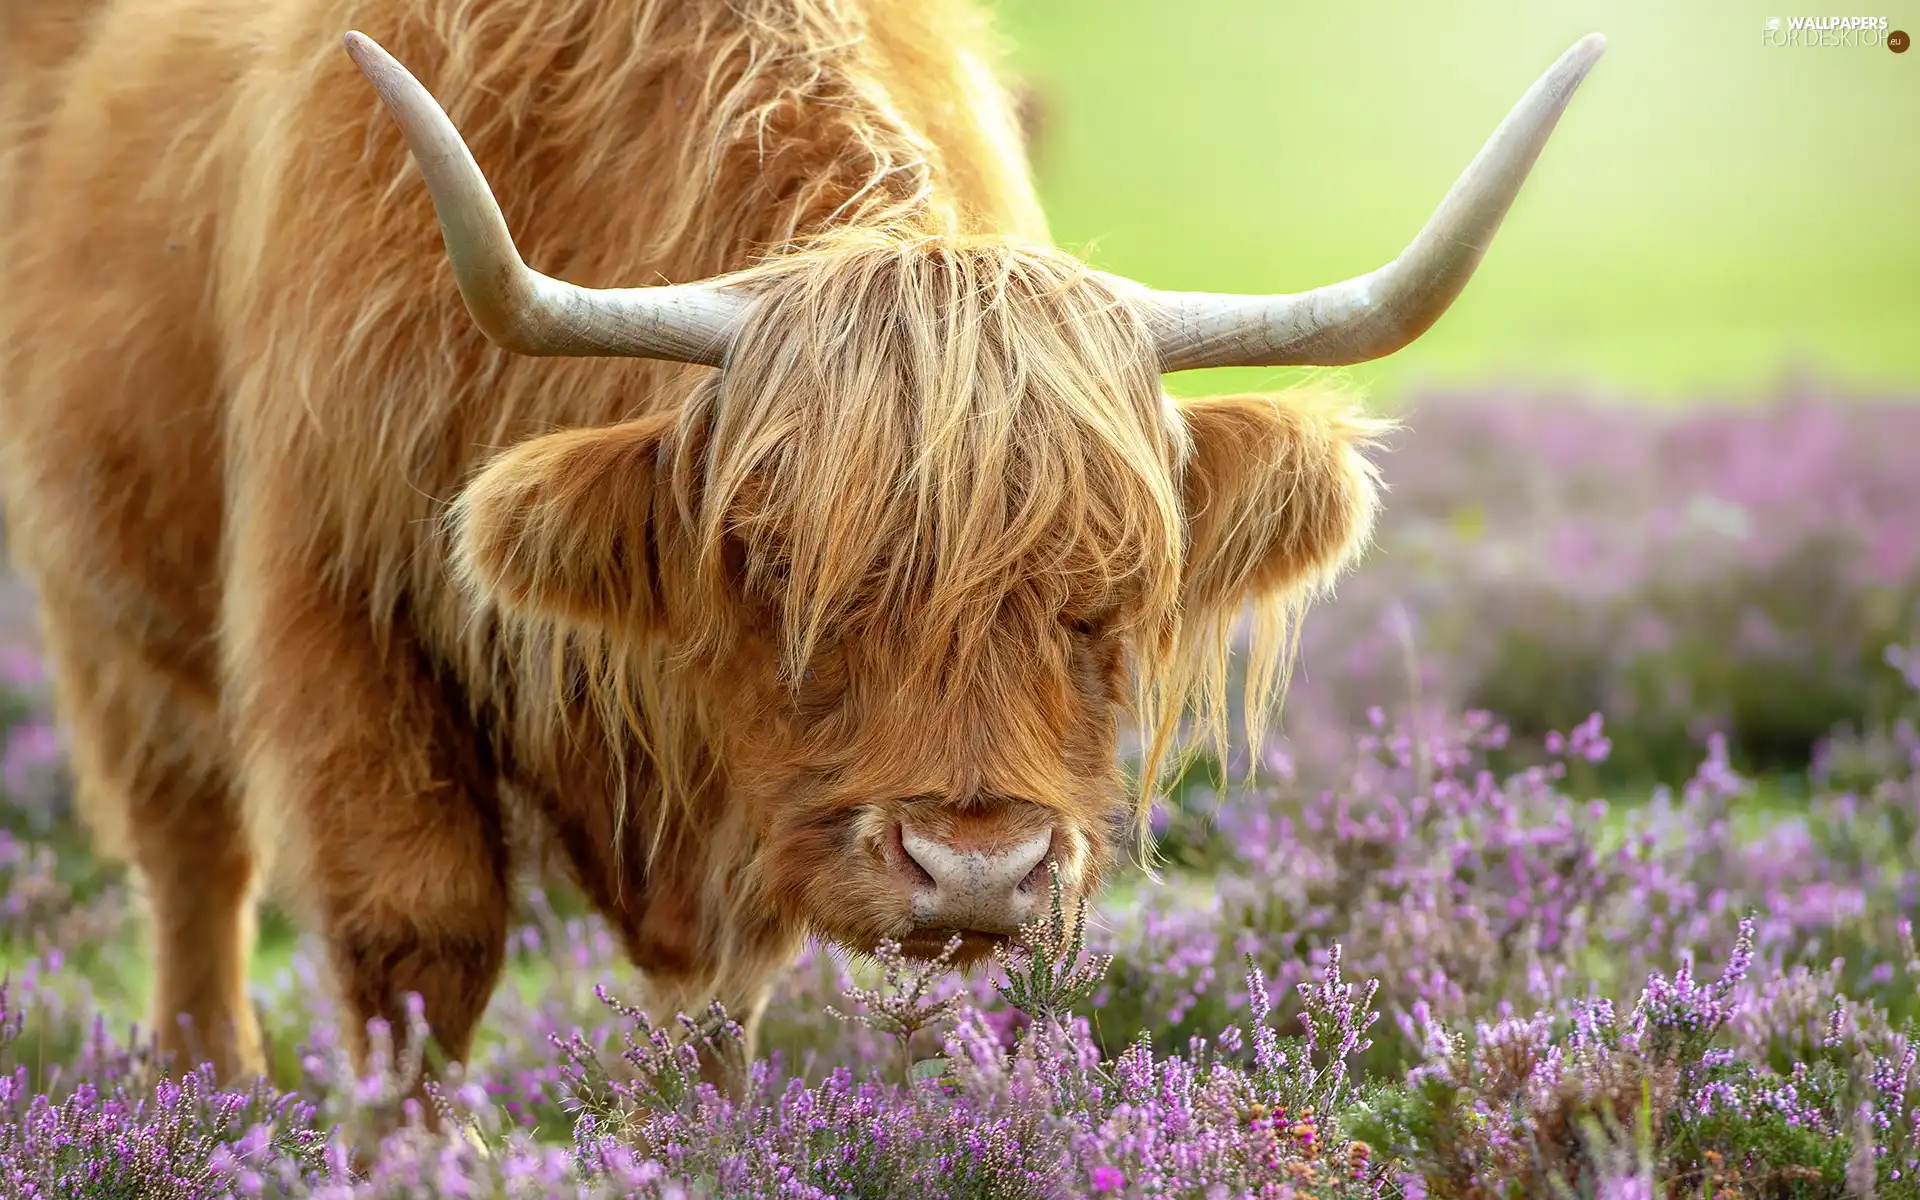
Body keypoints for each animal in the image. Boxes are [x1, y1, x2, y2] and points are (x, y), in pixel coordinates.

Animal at [0, 0, 1603, 1086]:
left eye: (1110, 589)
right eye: (776, 565)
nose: (975, 870)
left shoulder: (738, 796)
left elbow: (715, 1005)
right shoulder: (339, 605)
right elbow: (417, 950)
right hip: (107, 602)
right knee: (192, 866)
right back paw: (206, 1098)